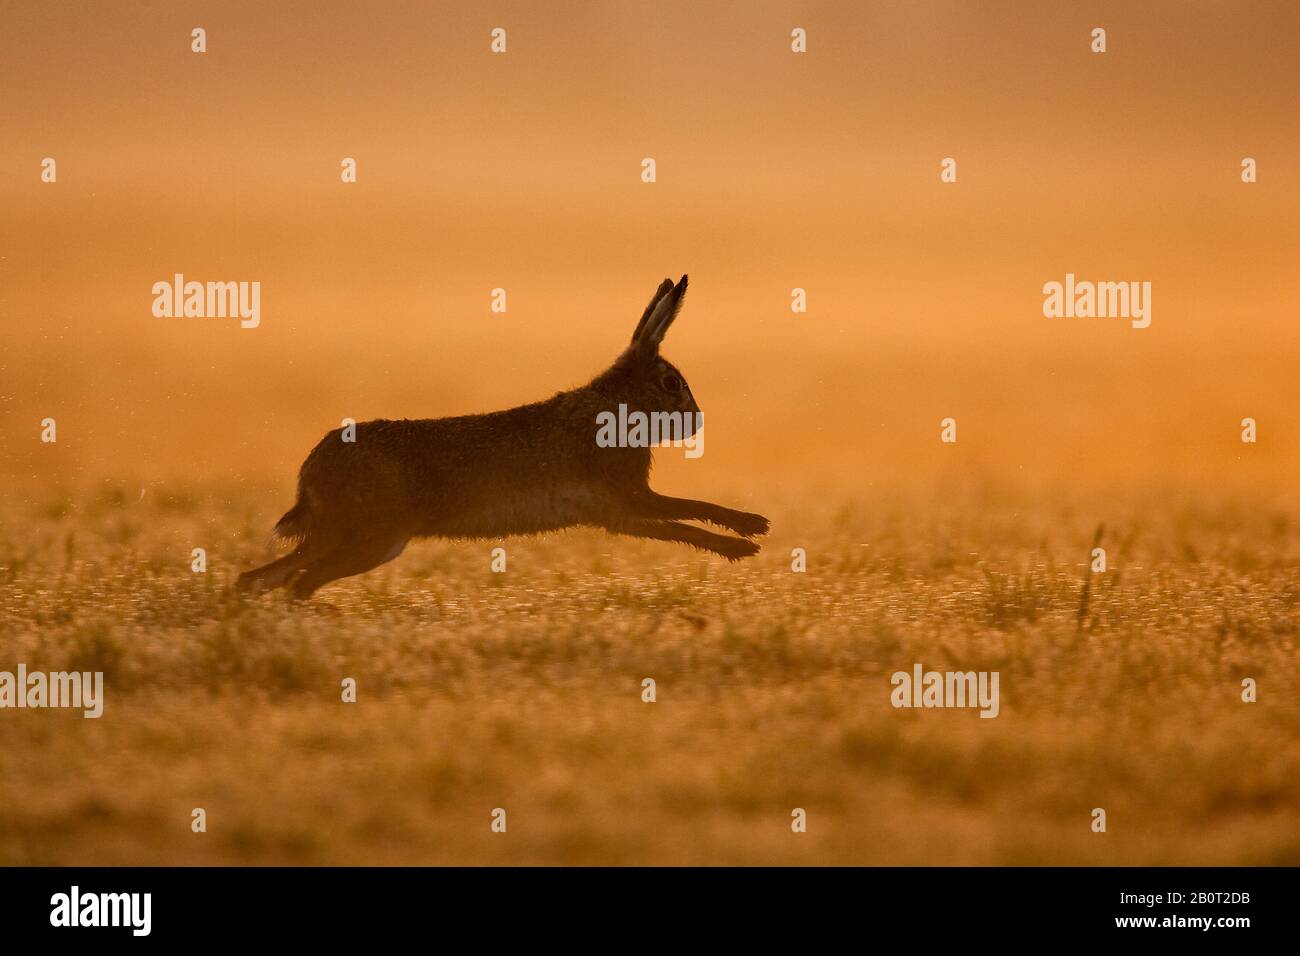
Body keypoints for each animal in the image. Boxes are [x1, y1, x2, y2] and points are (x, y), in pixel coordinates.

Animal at [237, 275, 769, 599]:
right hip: (374, 537)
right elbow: (690, 512)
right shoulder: (630, 497)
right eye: (671, 384)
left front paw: (746, 540)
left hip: (356, 536)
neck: (611, 408)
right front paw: (750, 536)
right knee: (299, 580)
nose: (697, 421)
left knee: (266, 577)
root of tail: (312, 471)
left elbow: (679, 526)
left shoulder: (619, 511)